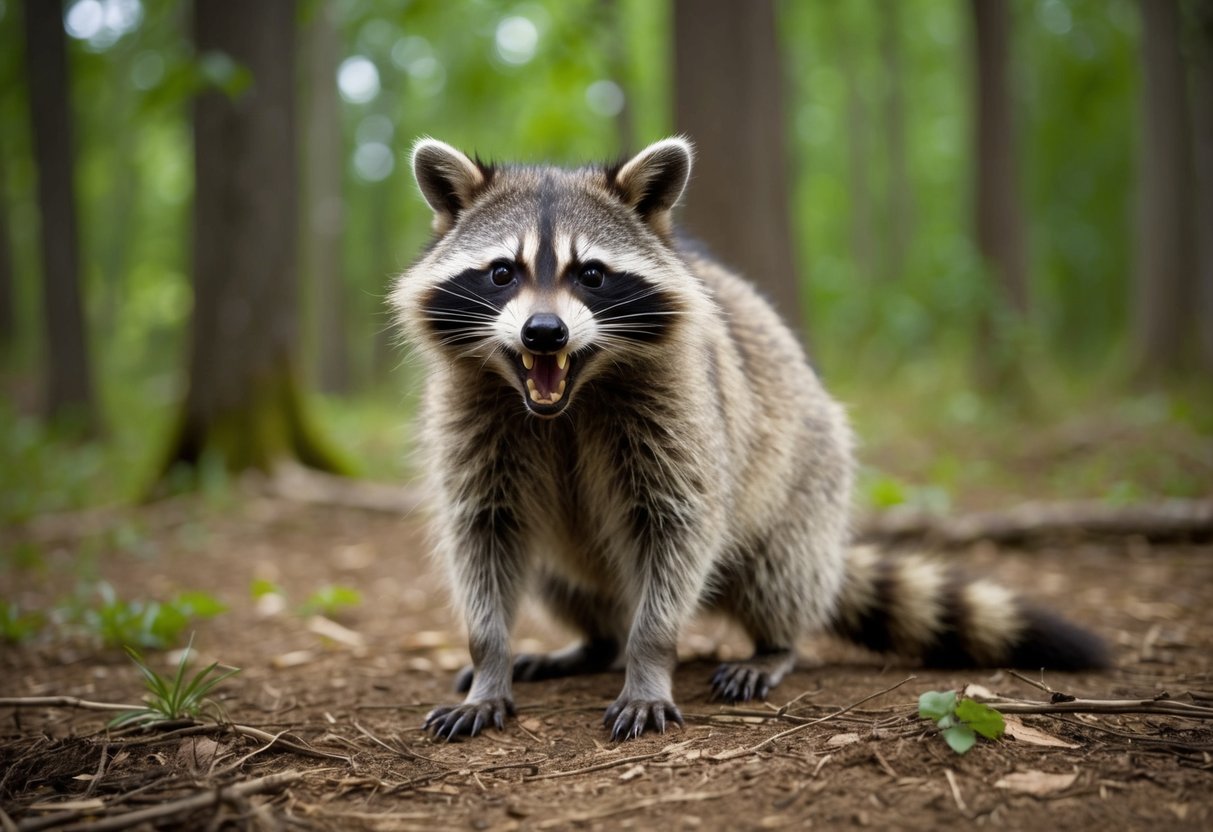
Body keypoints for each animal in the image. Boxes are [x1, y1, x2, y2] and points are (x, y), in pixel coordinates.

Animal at [391, 137, 1108, 742]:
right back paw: (594, 642)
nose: (544, 333)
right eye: (502, 273)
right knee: (557, 576)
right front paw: (491, 661)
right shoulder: (473, 421)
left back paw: (771, 644)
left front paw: (651, 659)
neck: (567, 400)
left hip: (810, 480)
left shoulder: (685, 415)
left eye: (590, 275)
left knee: (777, 571)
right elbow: (483, 531)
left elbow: (678, 529)